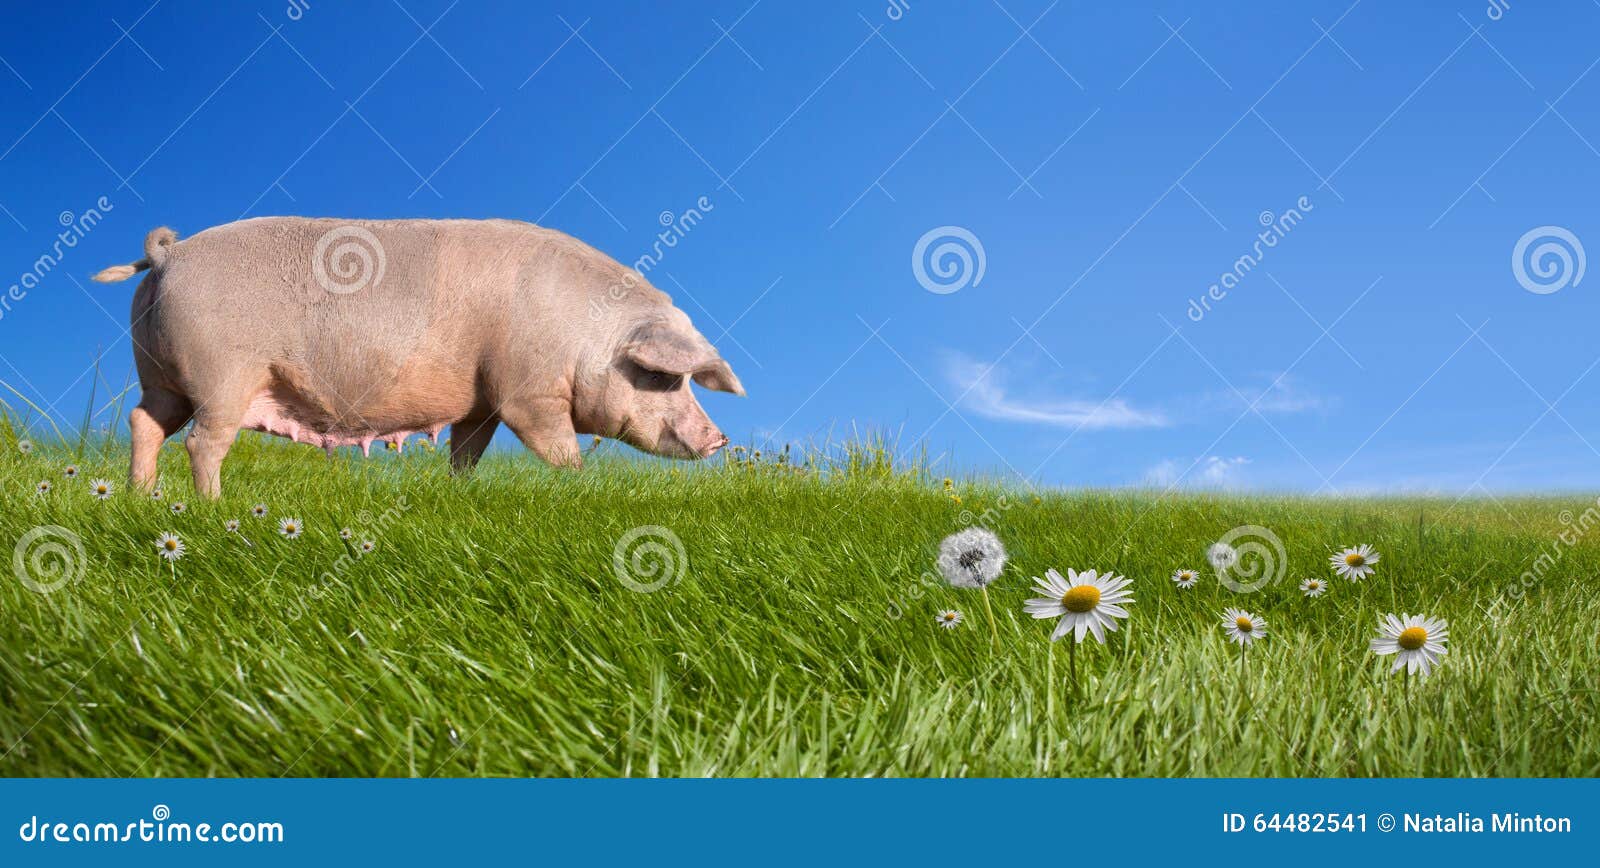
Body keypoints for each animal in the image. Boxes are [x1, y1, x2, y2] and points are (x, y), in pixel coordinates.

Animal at [91, 217, 743, 498]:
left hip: (162, 376)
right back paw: (211, 508)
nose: (719, 439)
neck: (587, 337)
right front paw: (580, 486)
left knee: (144, 422)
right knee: (202, 442)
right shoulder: (526, 390)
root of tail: (169, 255)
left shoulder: (479, 404)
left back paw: (140, 498)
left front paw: (459, 492)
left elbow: (466, 450)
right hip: (223, 374)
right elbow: (556, 445)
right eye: (660, 377)